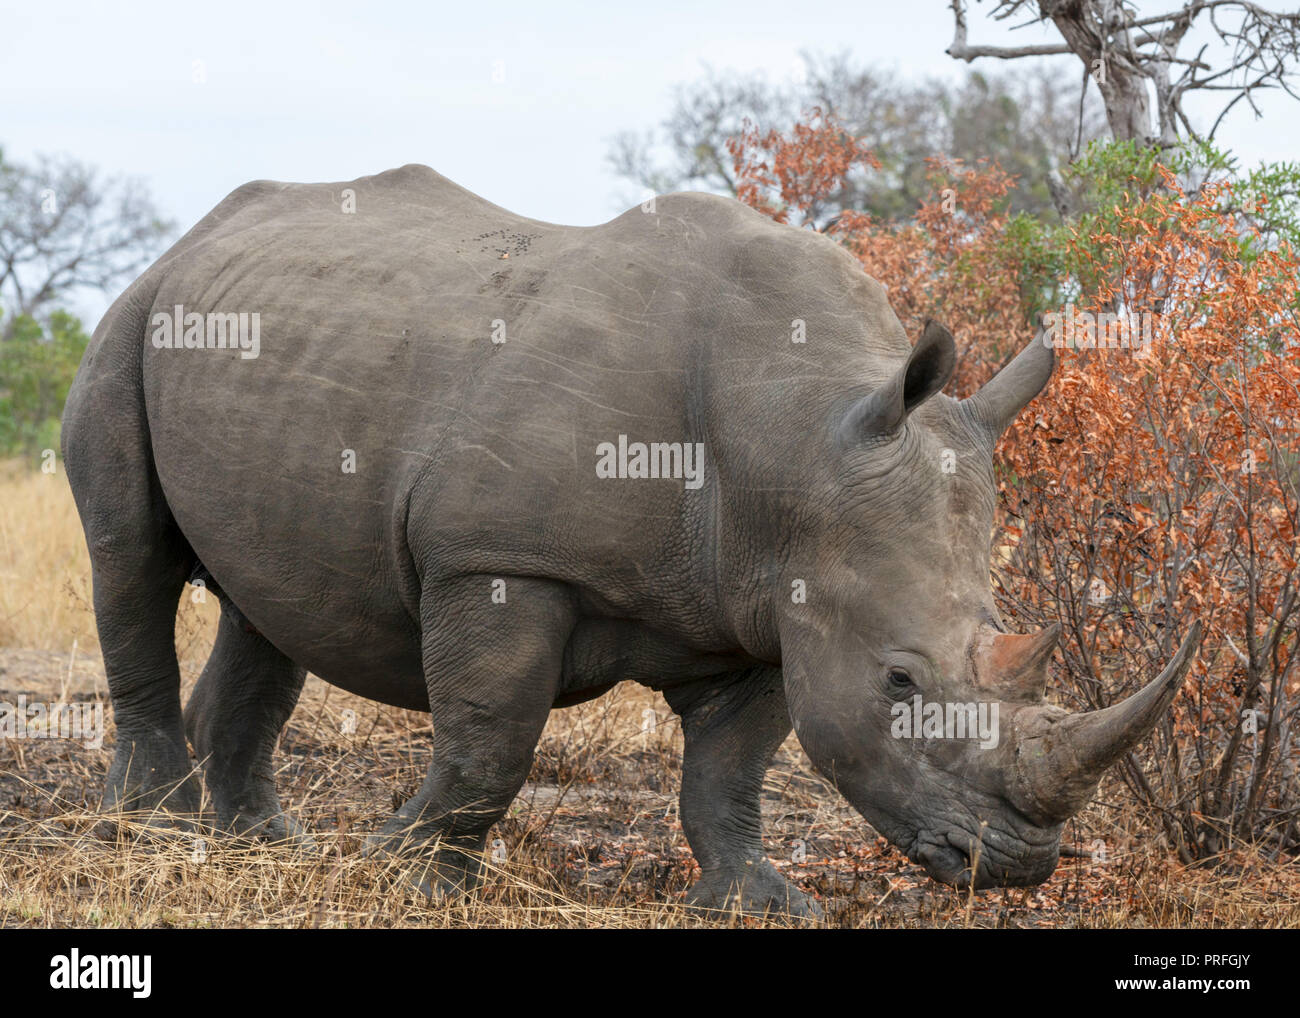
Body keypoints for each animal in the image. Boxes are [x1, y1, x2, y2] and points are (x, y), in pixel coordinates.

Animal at [61, 164, 1200, 918]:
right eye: (900, 681)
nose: (1017, 862)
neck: (800, 434)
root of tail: (195, 235)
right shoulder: (499, 557)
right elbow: (489, 739)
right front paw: (405, 875)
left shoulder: (765, 603)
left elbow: (730, 771)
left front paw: (760, 903)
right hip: (127, 322)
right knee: (130, 559)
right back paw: (154, 827)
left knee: (271, 602)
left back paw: (258, 840)